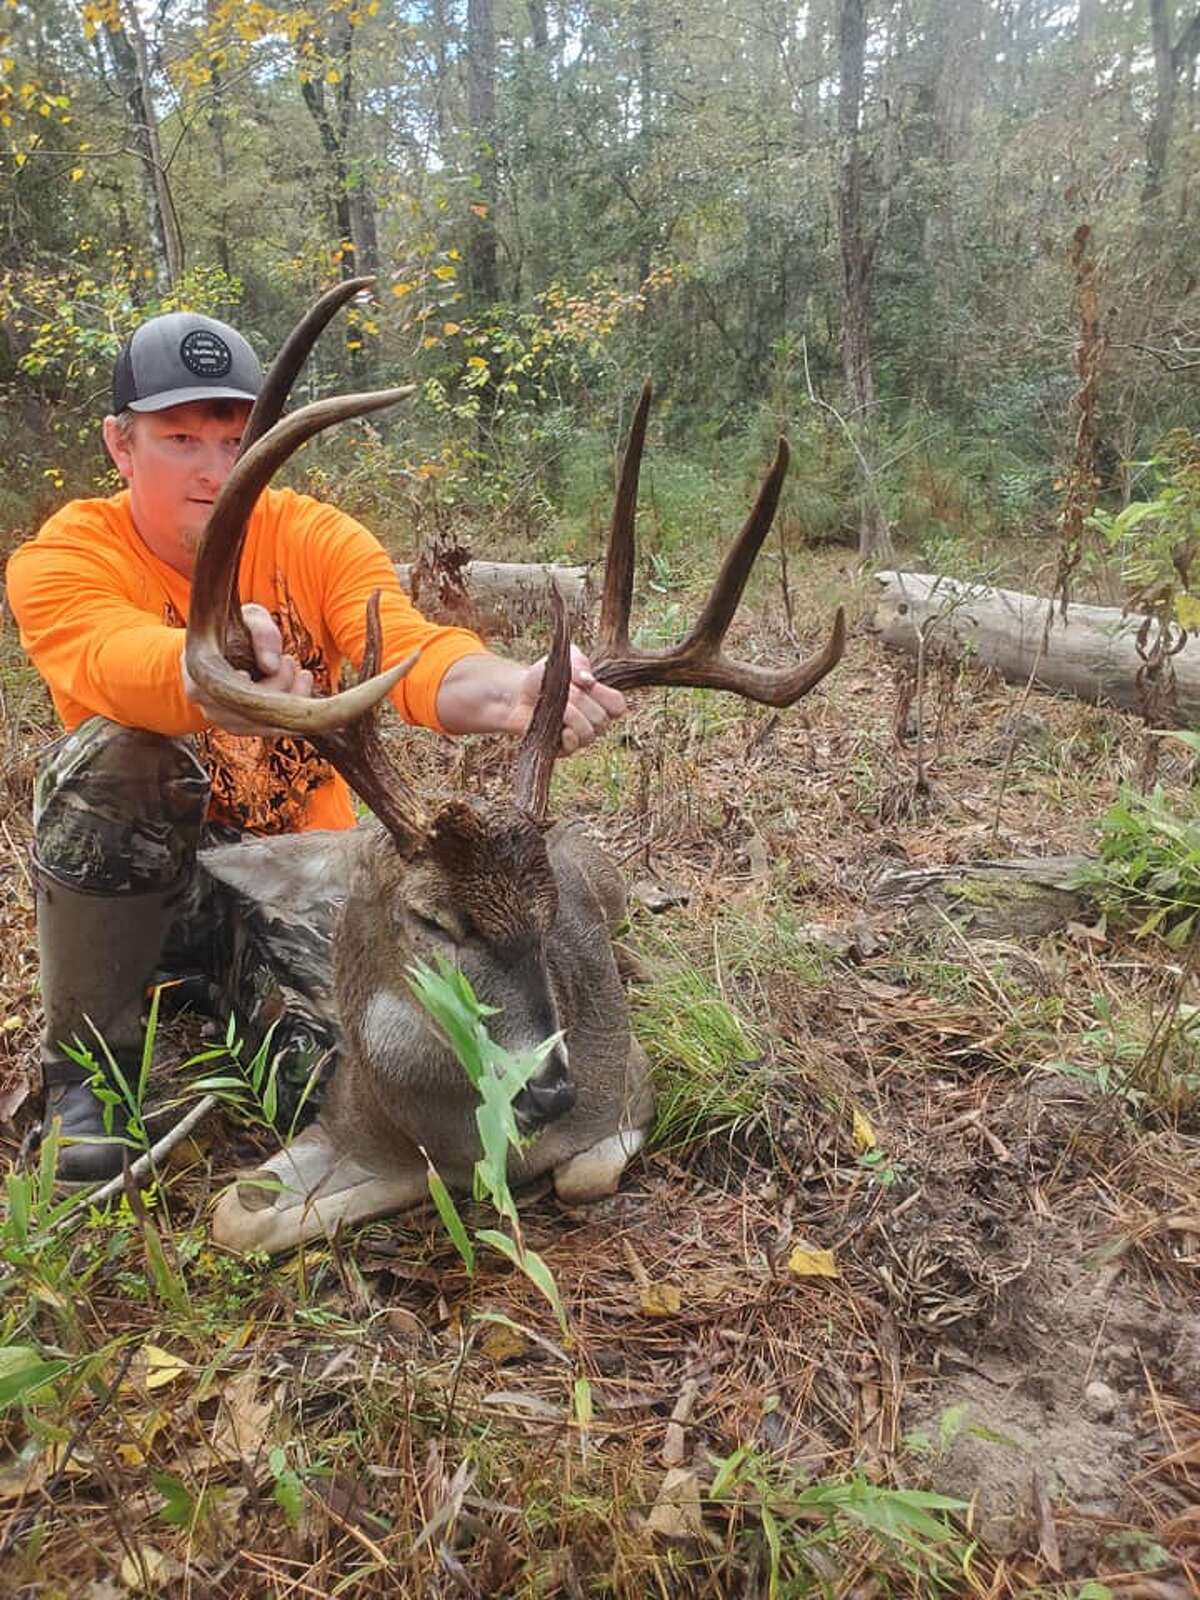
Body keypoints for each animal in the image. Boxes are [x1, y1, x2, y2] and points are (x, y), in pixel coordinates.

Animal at [185, 281, 847, 1255]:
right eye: (432, 920)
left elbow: (582, 1175)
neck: (439, 1124)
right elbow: (236, 1215)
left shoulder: (629, 1085)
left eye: (545, 915)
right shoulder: (347, 1118)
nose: (549, 1090)